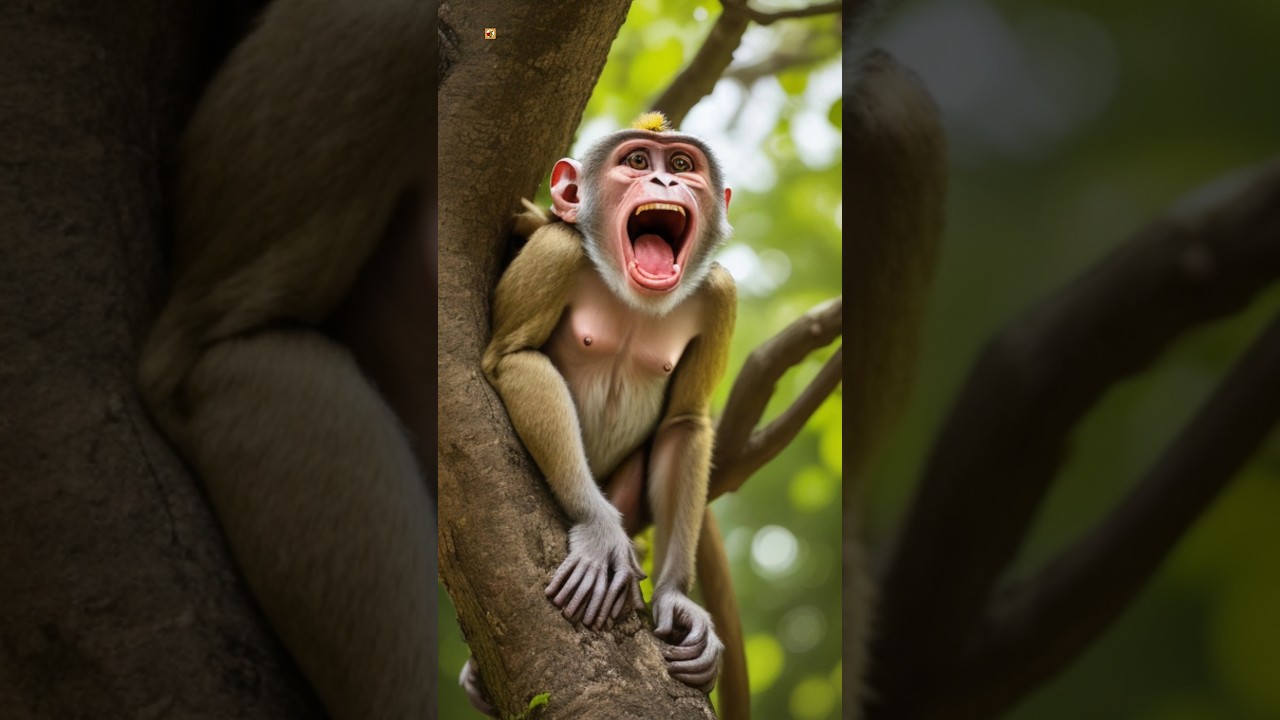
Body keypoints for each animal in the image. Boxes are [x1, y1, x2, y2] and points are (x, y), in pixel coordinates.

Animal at [462, 112, 747, 716]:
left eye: (682, 164)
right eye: (638, 162)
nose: (665, 182)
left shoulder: (720, 293)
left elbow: (684, 424)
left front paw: (676, 596)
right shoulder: (556, 251)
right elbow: (514, 357)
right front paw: (598, 528)